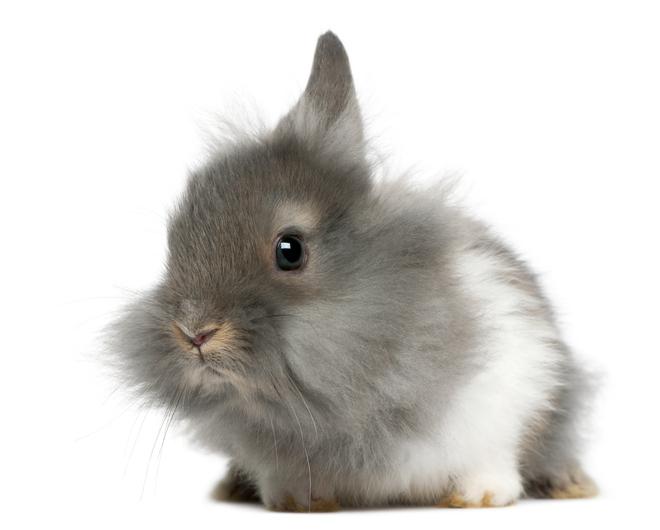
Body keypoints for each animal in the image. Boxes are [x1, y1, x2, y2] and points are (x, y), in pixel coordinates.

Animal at [108, 31, 597, 511]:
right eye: (173, 242)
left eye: (290, 250)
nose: (195, 332)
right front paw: (295, 500)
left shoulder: (513, 385)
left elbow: (493, 458)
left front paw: (481, 496)